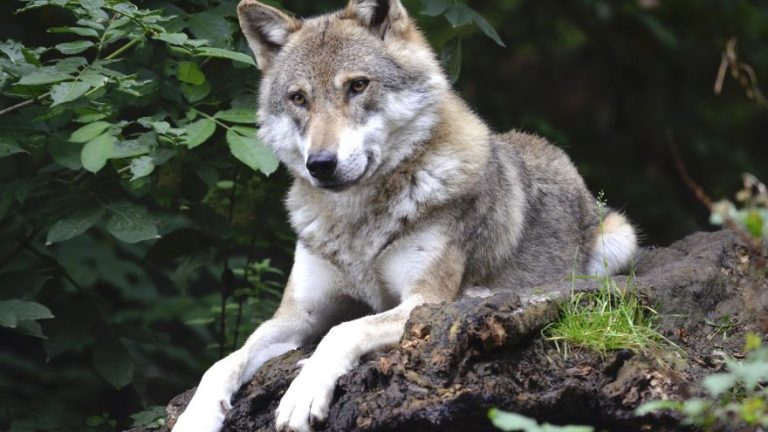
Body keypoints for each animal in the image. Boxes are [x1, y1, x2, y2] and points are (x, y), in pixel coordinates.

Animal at [172, 1, 638, 431]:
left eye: (358, 86)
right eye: (299, 98)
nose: (320, 164)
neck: (357, 223)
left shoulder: (422, 300)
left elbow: (345, 330)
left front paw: (303, 393)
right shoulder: (296, 315)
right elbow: (225, 361)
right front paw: (195, 417)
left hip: (619, 239)